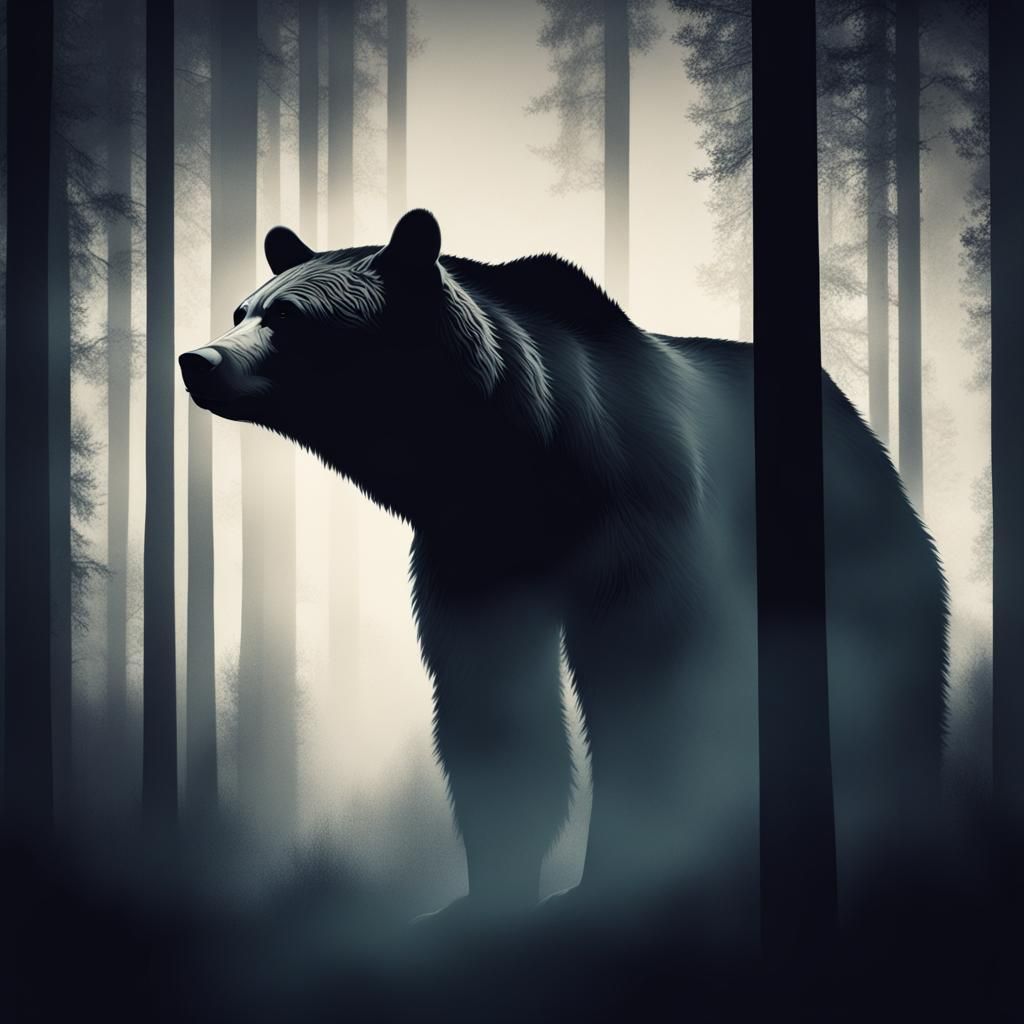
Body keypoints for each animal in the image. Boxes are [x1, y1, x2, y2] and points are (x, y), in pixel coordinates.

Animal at [179, 209, 948, 925]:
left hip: (853, 537)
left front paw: (620, 877)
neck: (525, 456)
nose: (198, 359)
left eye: (288, 317)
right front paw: (487, 889)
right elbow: (490, 702)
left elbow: (643, 683)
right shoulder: (474, 555)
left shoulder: (636, 524)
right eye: (243, 309)